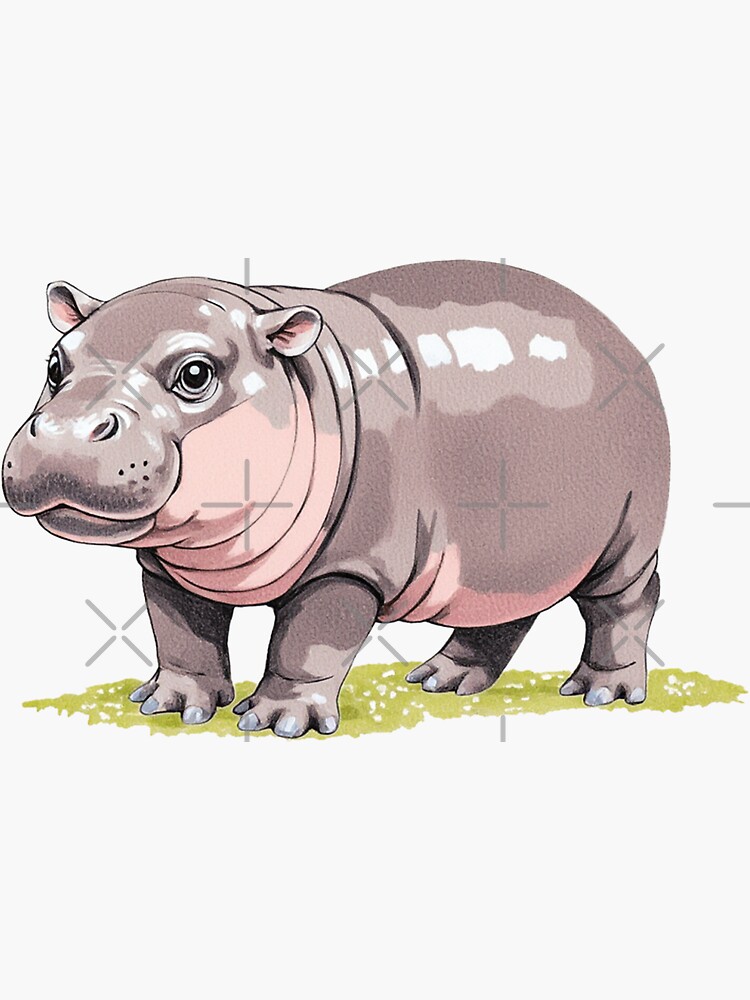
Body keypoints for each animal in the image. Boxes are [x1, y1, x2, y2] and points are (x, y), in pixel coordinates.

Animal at [3, 261, 669, 736]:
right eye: (55, 364)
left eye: (195, 374)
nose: (63, 432)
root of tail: (618, 333)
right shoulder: (168, 569)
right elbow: (181, 631)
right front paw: (171, 705)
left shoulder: (350, 566)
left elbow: (309, 640)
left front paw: (274, 720)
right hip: (509, 553)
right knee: (505, 612)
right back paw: (442, 680)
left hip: (628, 538)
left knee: (625, 603)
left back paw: (601, 691)